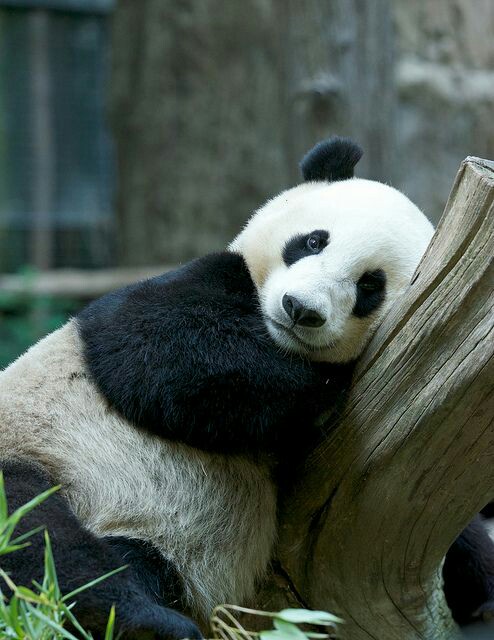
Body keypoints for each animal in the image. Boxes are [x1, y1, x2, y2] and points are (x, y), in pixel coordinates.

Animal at [0, 137, 491, 638]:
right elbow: (156, 345)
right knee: (37, 535)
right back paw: (141, 618)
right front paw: (321, 383)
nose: (300, 309)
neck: (271, 337)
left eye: (370, 286)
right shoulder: (191, 285)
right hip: (36, 447)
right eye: (313, 241)